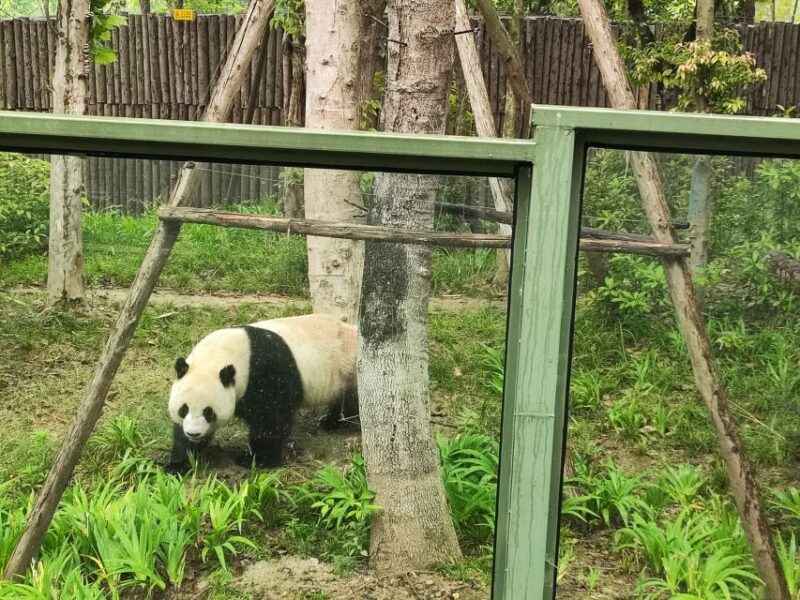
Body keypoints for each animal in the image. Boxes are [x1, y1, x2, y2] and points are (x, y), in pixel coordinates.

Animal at [166, 314, 358, 473]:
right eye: (183, 409)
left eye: (209, 412)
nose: (194, 434)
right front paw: (178, 463)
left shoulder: (266, 373)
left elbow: (271, 420)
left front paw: (255, 460)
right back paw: (330, 422)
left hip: (349, 370)